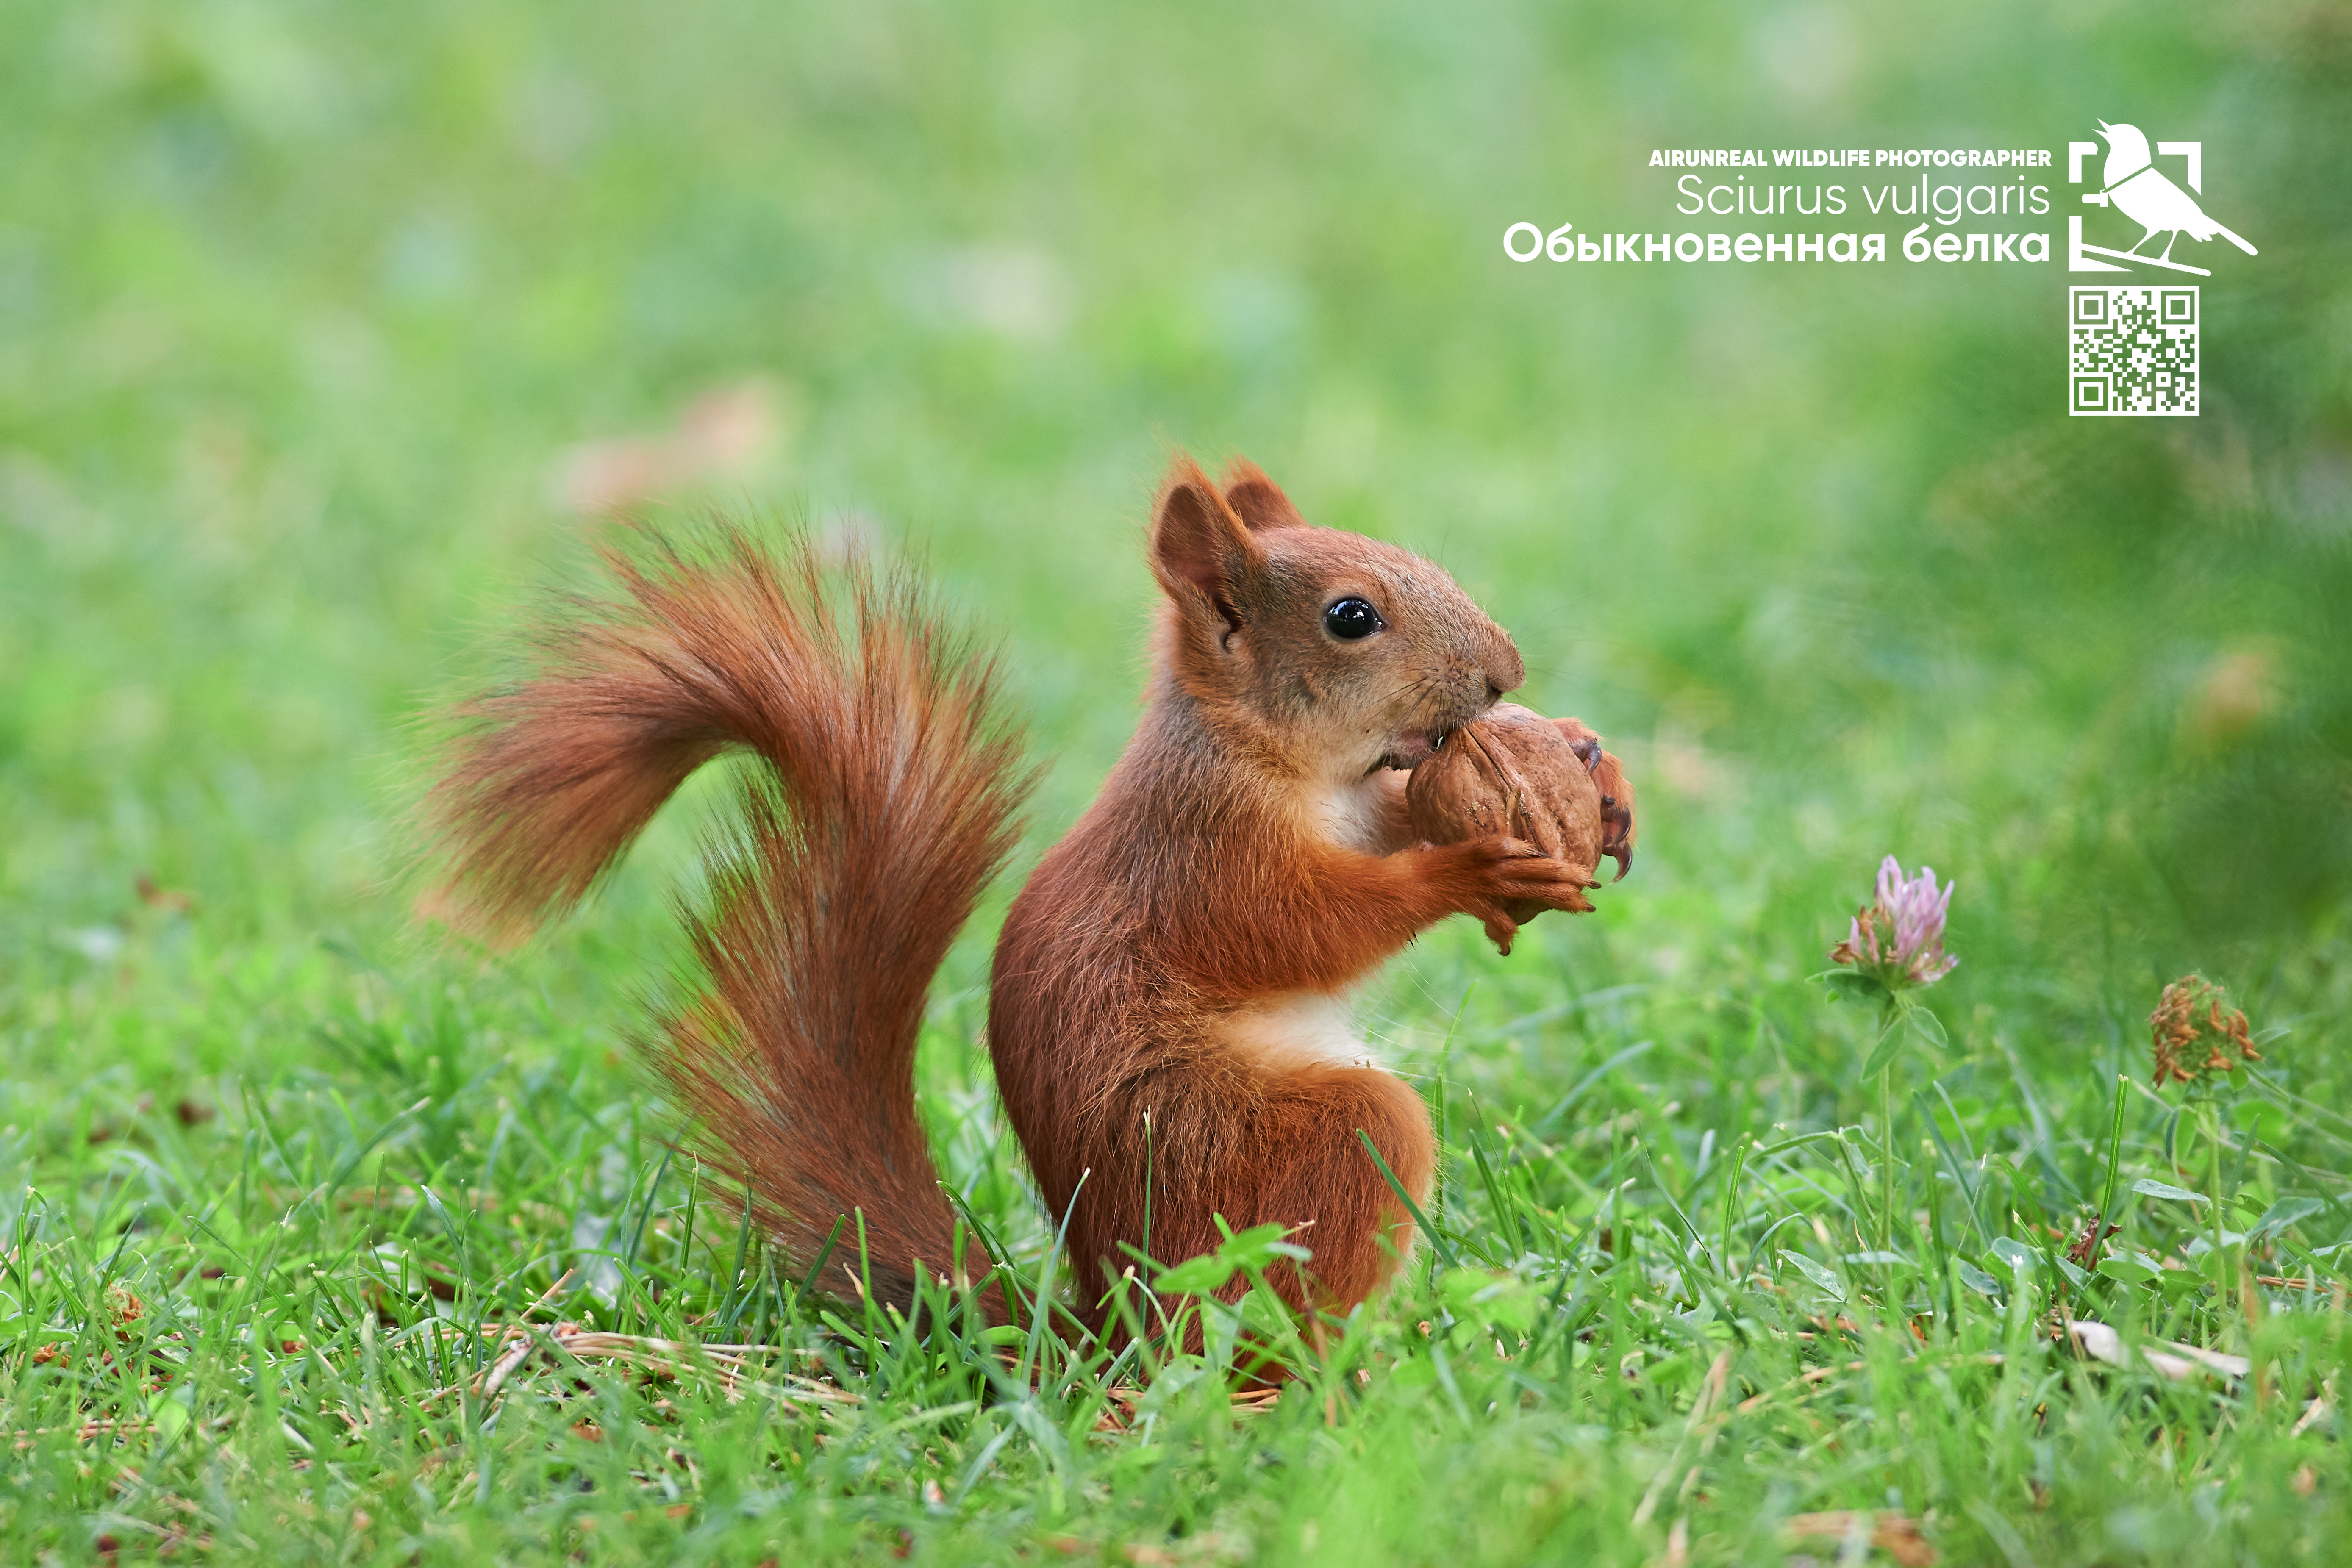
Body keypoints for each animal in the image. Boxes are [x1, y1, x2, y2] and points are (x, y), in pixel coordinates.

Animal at [428, 453, 1637, 1335]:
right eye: (1352, 617)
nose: (1506, 671)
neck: (1271, 760)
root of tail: (1113, 1329)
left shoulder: (1350, 803)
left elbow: (1393, 814)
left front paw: (1591, 765)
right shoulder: (1204, 855)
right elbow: (1304, 925)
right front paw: (1470, 867)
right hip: (1285, 1147)